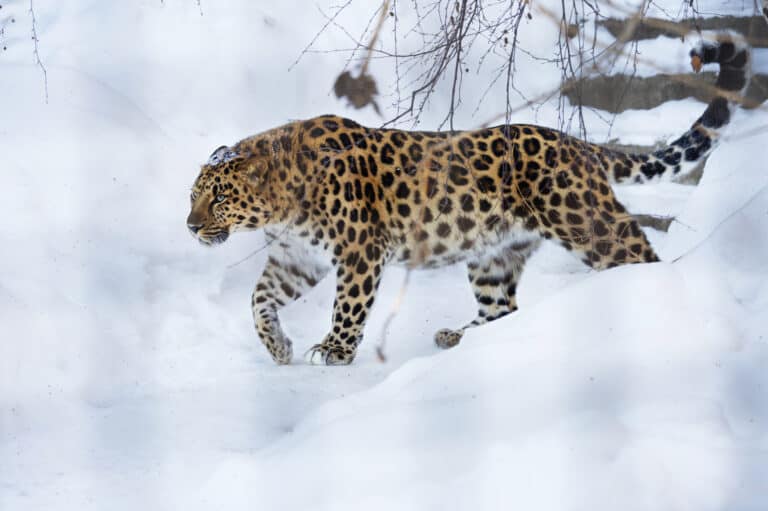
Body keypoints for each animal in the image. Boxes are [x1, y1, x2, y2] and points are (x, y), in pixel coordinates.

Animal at [187, 33, 751, 365]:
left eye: (218, 198)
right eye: (192, 198)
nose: (191, 227)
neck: (280, 207)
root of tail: (576, 143)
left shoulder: (360, 251)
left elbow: (348, 305)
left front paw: (334, 349)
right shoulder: (296, 256)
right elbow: (259, 300)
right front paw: (277, 345)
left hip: (587, 223)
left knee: (639, 254)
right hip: (492, 255)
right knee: (501, 309)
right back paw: (460, 339)